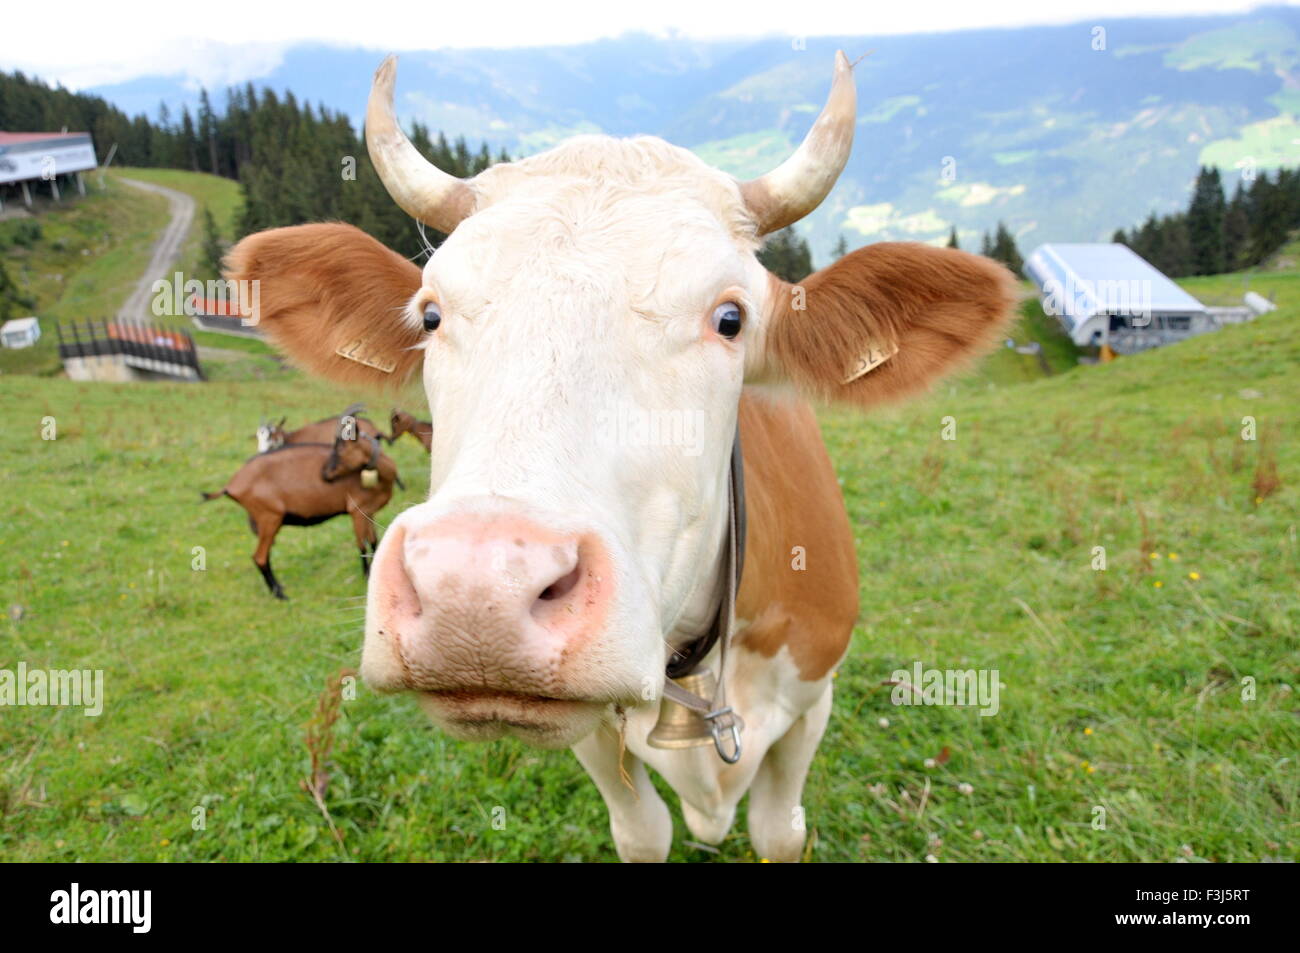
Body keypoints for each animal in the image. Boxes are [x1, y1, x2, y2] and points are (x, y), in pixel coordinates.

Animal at [225, 52, 1015, 862]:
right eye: (431, 315)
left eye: (731, 319)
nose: (474, 591)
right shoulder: (594, 742)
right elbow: (641, 832)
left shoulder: (811, 695)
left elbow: (780, 828)